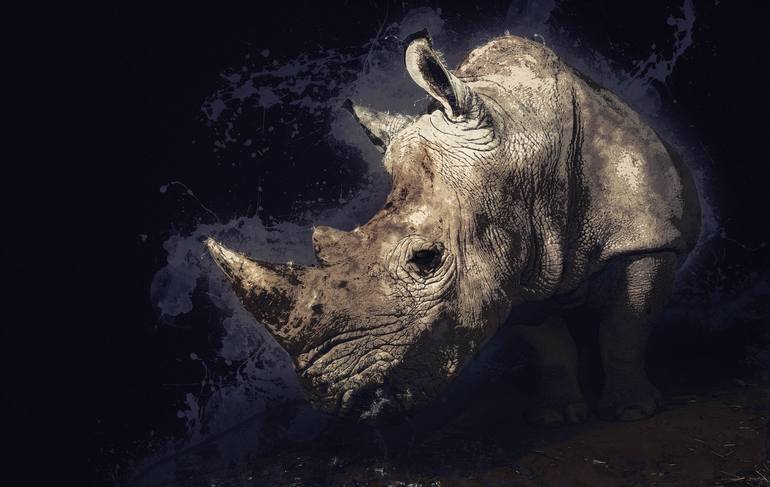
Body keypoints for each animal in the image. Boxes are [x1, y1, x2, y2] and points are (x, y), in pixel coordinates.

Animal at [205, 31, 700, 424]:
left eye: (427, 260)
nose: (340, 400)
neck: (523, 142)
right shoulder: (516, 268)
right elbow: (549, 344)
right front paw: (556, 415)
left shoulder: (648, 240)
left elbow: (625, 327)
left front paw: (632, 412)